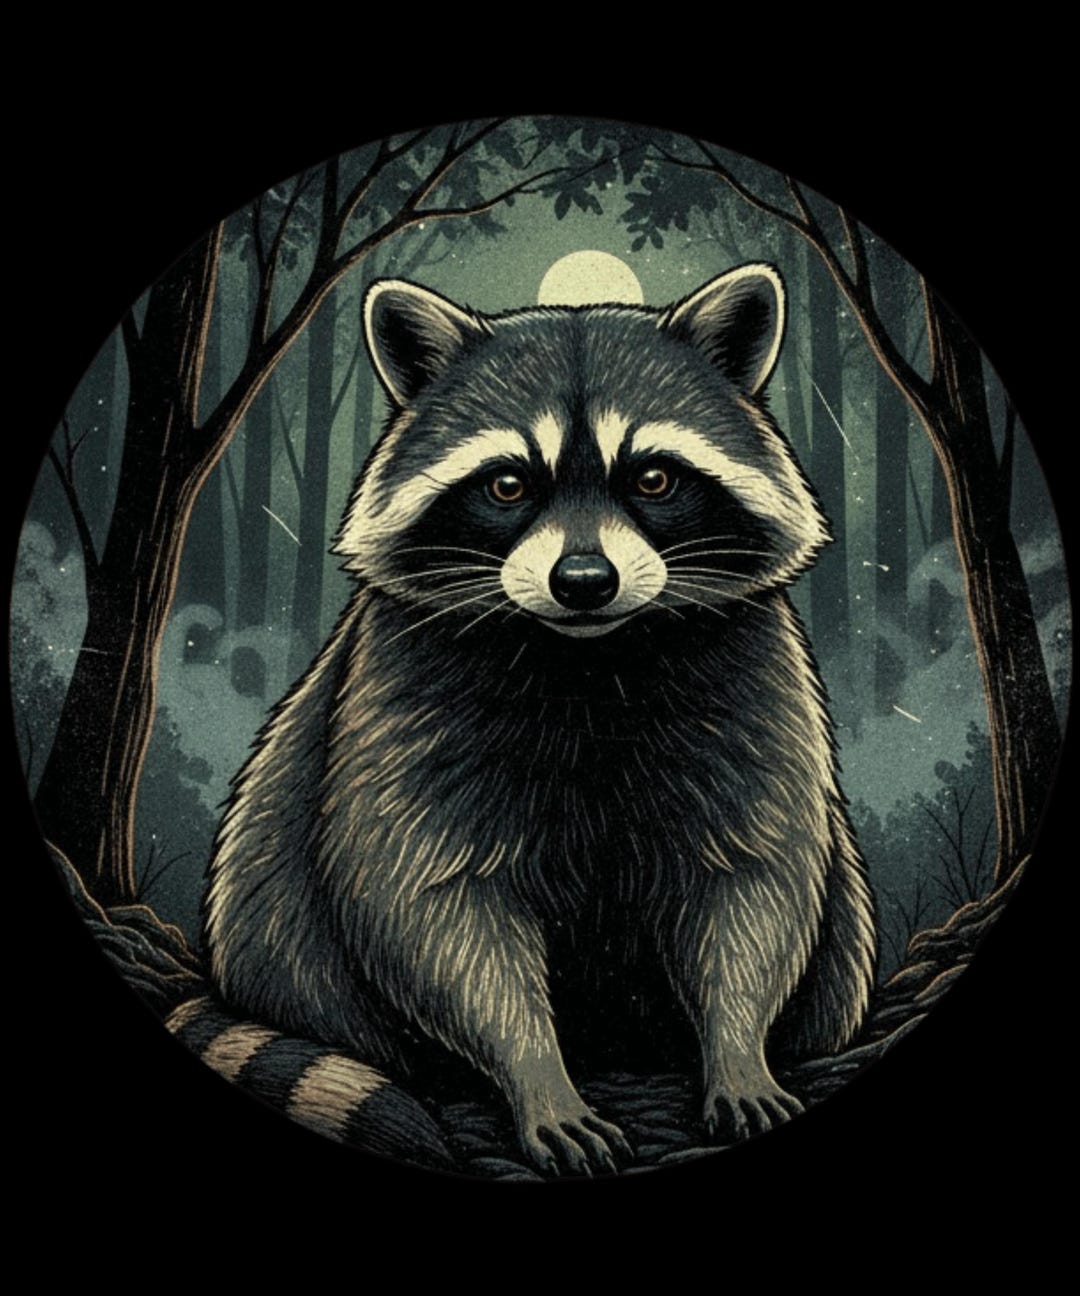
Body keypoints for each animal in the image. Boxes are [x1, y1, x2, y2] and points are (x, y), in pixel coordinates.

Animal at [204, 264, 876, 1175]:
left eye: (653, 479)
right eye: (508, 484)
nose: (583, 579)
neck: (588, 659)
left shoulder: (756, 680)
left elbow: (753, 878)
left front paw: (739, 1048)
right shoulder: (397, 698)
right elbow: (429, 902)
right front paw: (537, 1075)